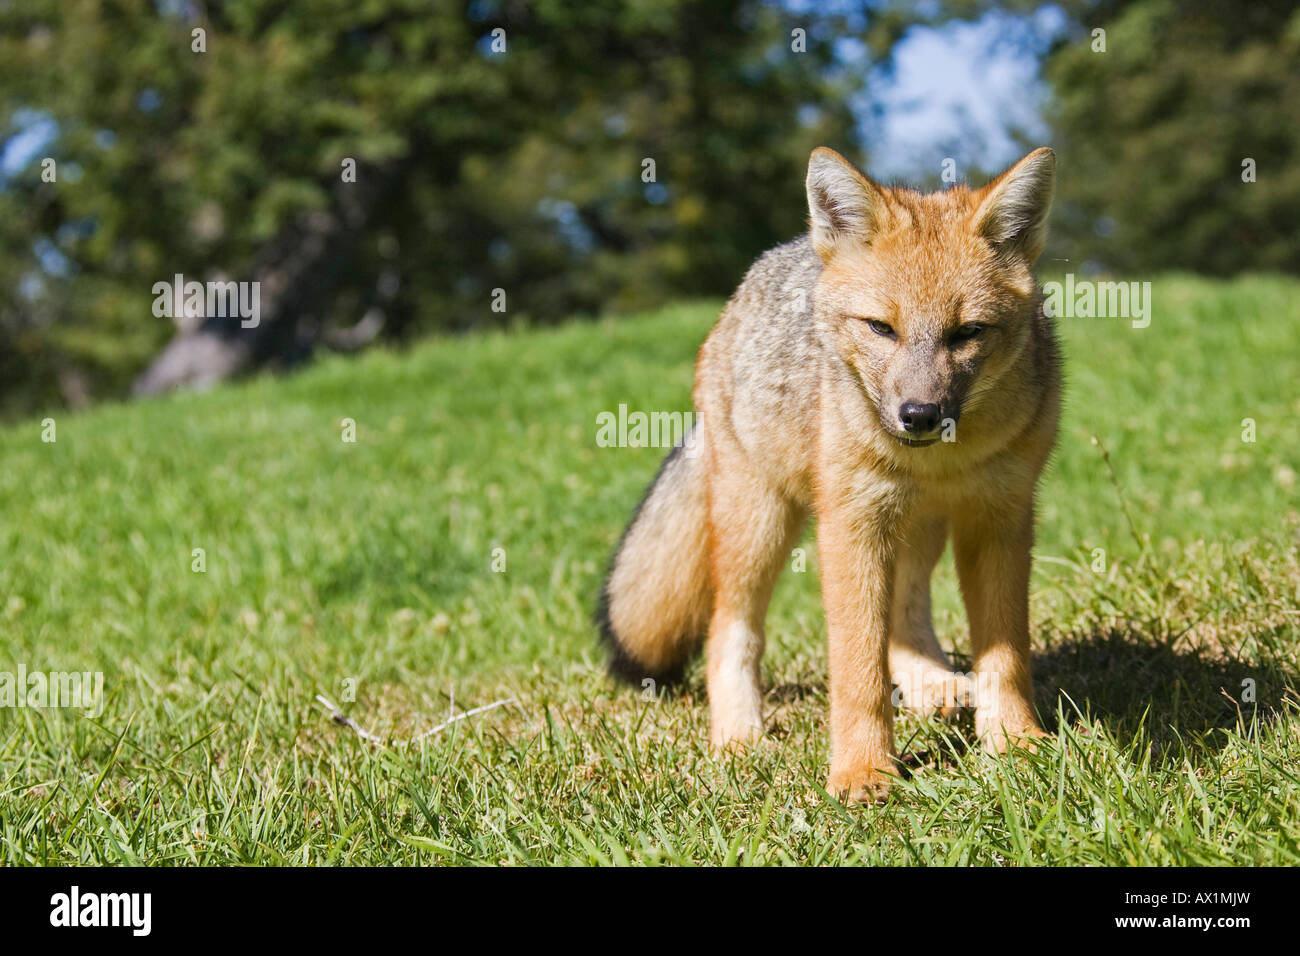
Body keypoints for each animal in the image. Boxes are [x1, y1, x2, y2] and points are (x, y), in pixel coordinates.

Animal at [596, 146, 1061, 803]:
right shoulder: (851, 526)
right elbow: (858, 670)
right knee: (728, 630)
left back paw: (931, 683)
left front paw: (1017, 746)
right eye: (880, 327)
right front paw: (864, 770)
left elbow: (1006, 655)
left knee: (905, 618)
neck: (941, 459)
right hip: (762, 527)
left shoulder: (999, 521)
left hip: (918, 528)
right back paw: (738, 737)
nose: (919, 415)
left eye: (967, 332)